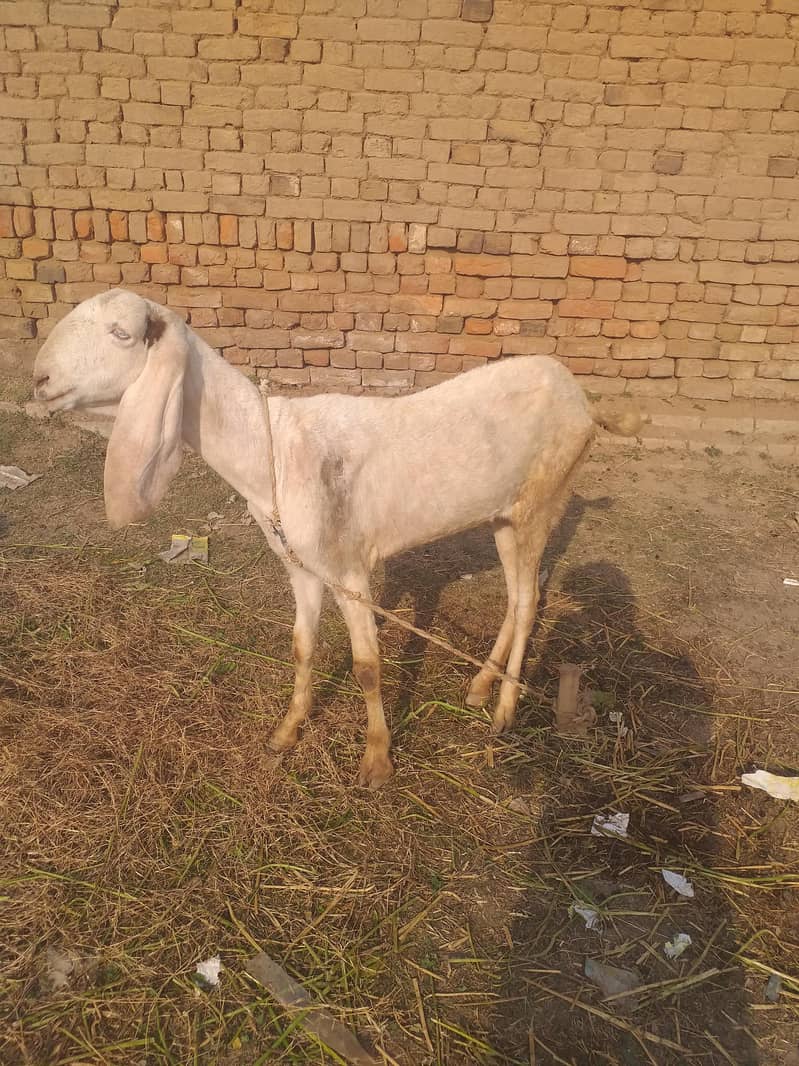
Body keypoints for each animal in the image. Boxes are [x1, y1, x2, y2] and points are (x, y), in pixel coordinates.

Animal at [33, 288, 640, 788]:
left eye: (121, 333)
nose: (39, 381)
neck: (273, 451)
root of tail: (583, 401)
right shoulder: (301, 563)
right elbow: (302, 646)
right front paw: (286, 732)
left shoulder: (349, 567)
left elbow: (367, 665)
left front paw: (377, 761)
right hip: (505, 516)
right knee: (517, 599)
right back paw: (479, 687)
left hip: (543, 499)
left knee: (530, 600)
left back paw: (504, 711)